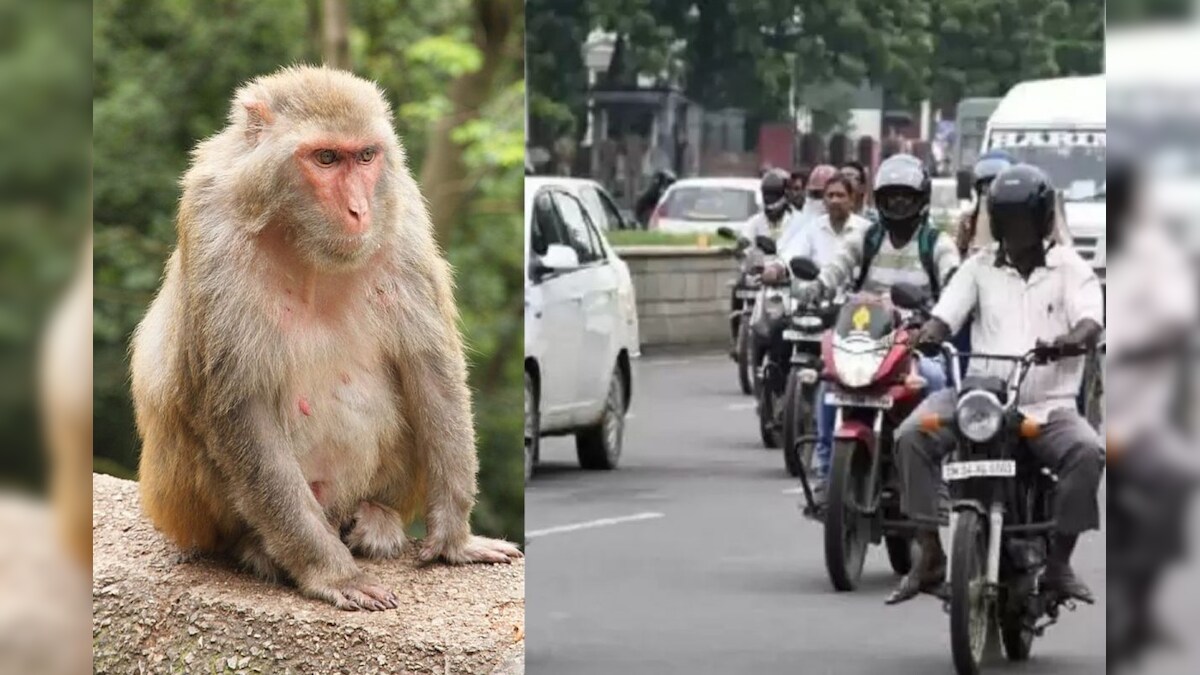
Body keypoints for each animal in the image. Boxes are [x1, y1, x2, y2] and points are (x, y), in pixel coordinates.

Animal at [130, 65, 522, 611]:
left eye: (365, 156)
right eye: (326, 158)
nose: (358, 210)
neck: (301, 240)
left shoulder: (401, 212)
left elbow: (430, 366)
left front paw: (454, 541)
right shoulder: (210, 223)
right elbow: (239, 406)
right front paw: (332, 574)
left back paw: (375, 515)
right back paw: (259, 547)